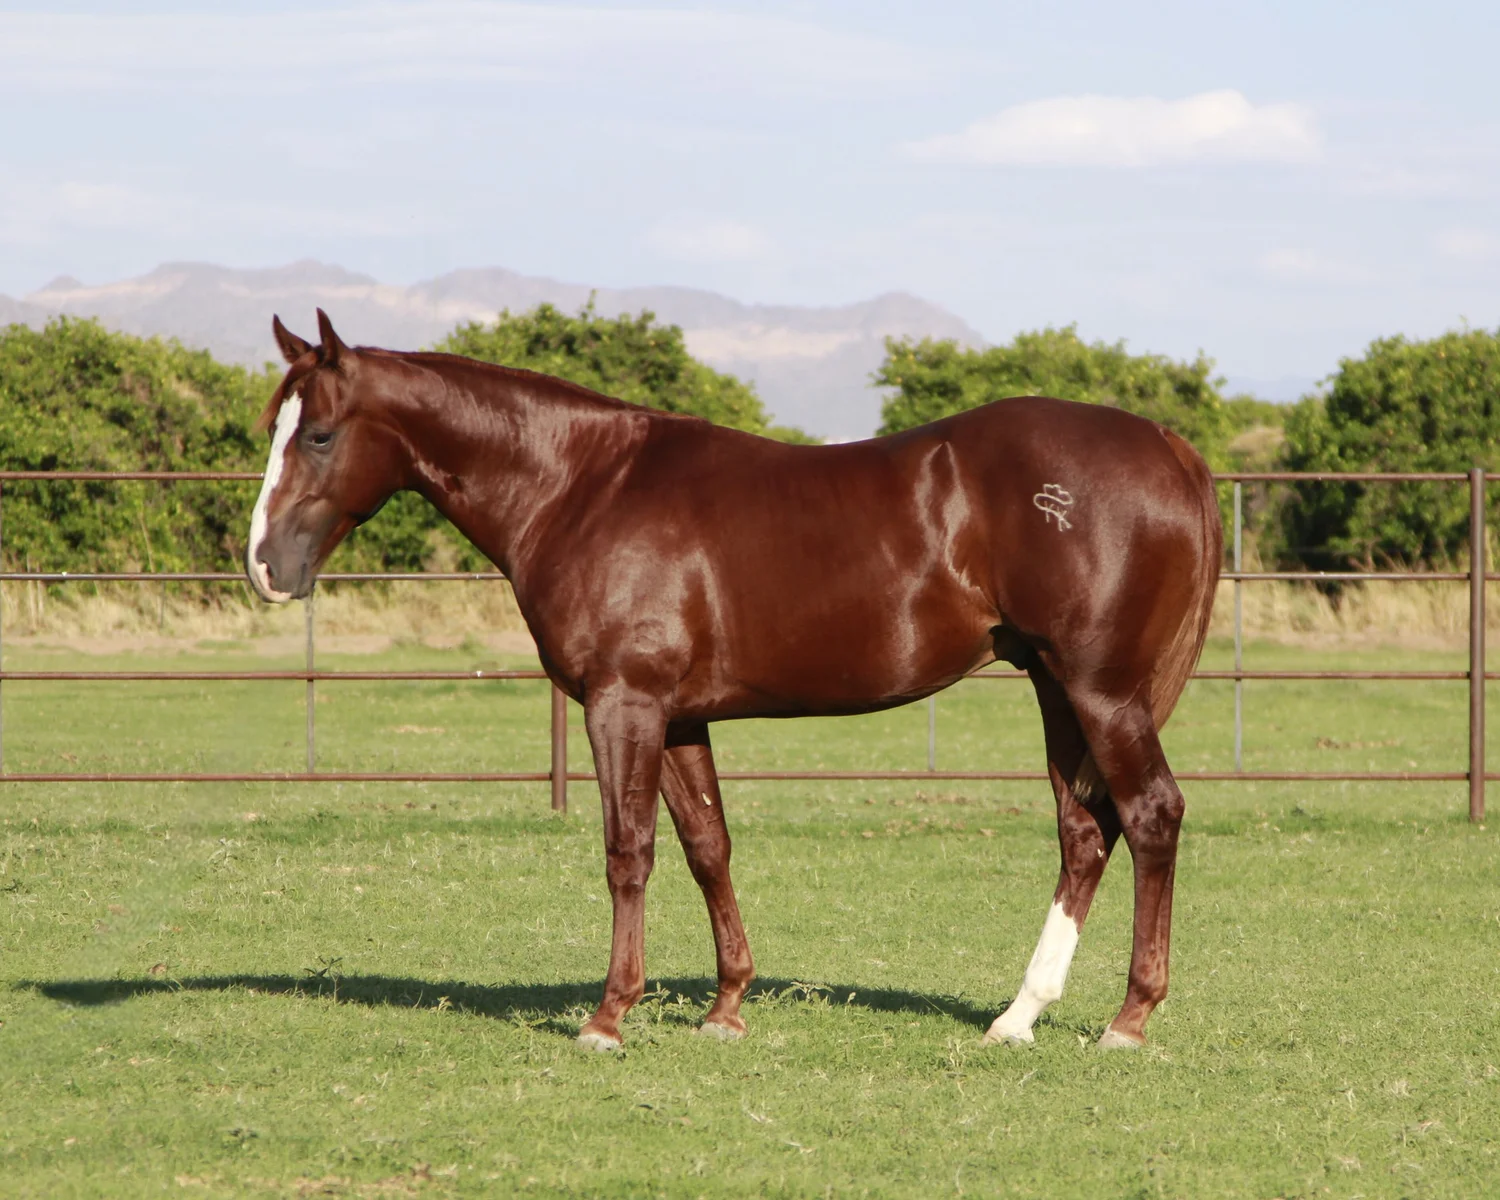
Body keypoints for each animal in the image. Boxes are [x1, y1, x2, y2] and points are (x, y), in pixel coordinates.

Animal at [246, 310, 1222, 1053]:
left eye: (320, 434)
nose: (264, 567)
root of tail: (1166, 445)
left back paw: (1128, 1020)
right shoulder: (678, 719)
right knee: (1084, 833)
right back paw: (1018, 1017)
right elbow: (707, 847)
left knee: (1150, 816)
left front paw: (608, 1018)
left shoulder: (624, 705)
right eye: (275, 431)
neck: (581, 486)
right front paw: (725, 1008)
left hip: (1101, 690)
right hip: (1057, 687)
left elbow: (629, 852)